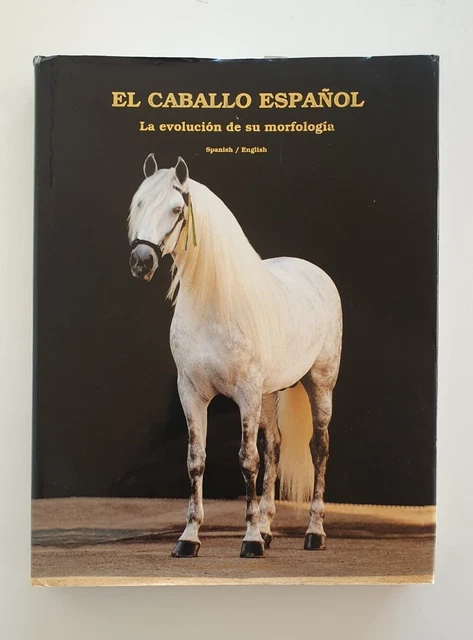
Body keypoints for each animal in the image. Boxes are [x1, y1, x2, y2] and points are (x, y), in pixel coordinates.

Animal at [128, 154, 343, 558]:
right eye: (139, 204)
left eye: (177, 209)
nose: (141, 261)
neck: (214, 303)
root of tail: (315, 272)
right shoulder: (192, 393)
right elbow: (196, 460)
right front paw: (189, 538)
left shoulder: (245, 393)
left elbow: (247, 460)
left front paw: (251, 540)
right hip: (268, 394)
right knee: (274, 446)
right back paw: (270, 528)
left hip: (319, 384)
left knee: (318, 448)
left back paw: (313, 532)